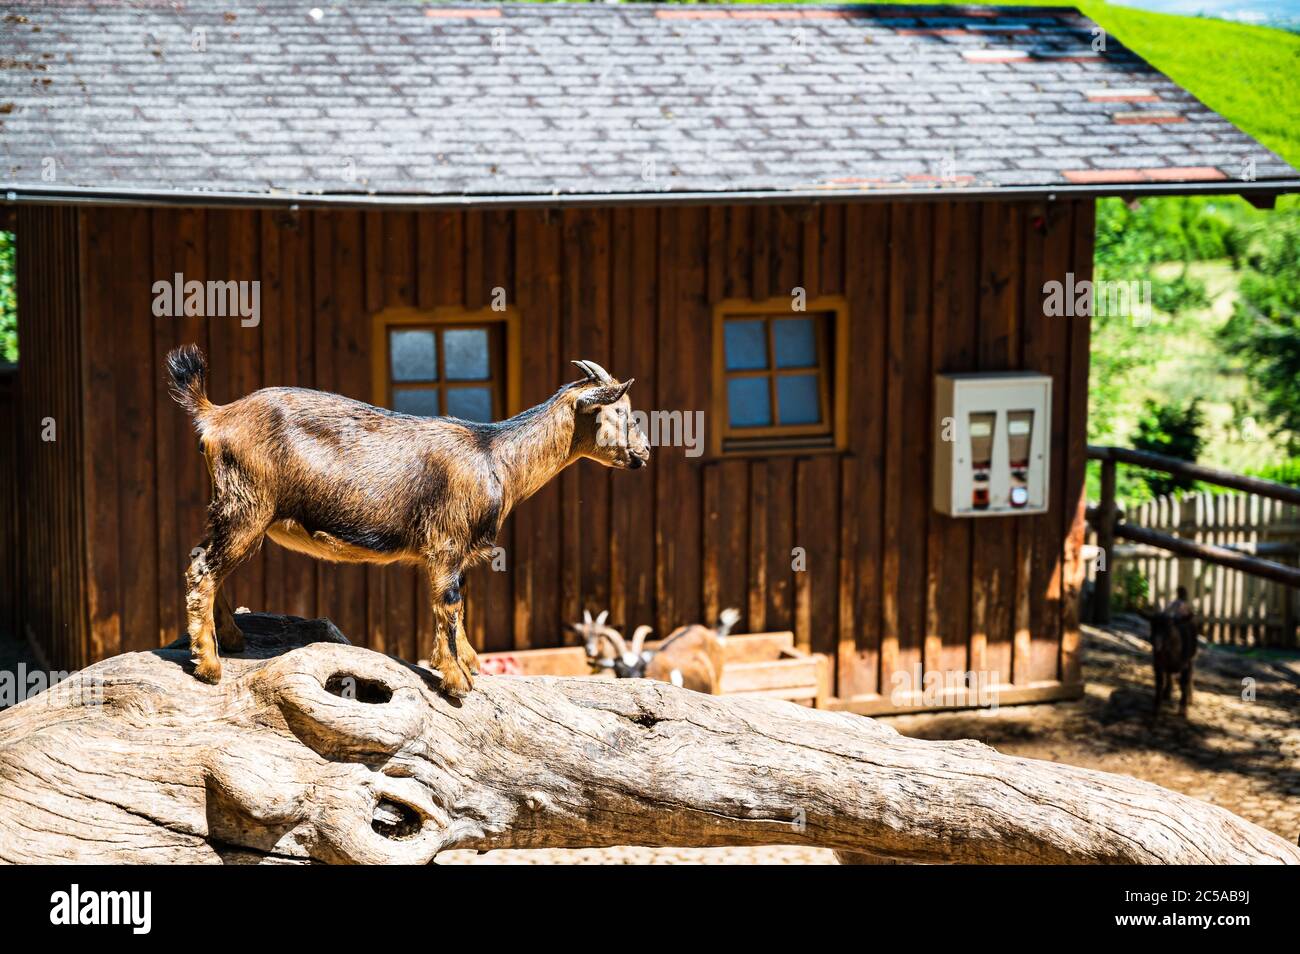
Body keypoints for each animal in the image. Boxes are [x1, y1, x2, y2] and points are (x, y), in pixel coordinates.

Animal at [166, 345, 649, 695]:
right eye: (621, 413)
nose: (644, 453)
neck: (495, 455)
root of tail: (216, 415)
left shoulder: (453, 551)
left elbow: (459, 604)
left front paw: (469, 662)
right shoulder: (446, 541)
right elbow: (448, 603)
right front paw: (457, 680)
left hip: (237, 510)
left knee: (205, 559)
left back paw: (229, 639)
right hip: (247, 505)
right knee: (203, 569)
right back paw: (208, 665)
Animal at [1143, 586, 1200, 718]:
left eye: (1169, 626)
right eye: (1152, 625)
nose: (1155, 643)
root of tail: (1180, 598)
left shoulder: (1186, 664)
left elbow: (1184, 684)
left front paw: (1183, 709)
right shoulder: (1157, 664)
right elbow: (1159, 684)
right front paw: (1156, 709)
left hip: (1192, 657)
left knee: (1191, 675)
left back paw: (1190, 698)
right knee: (1169, 675)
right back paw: (1168, 692)